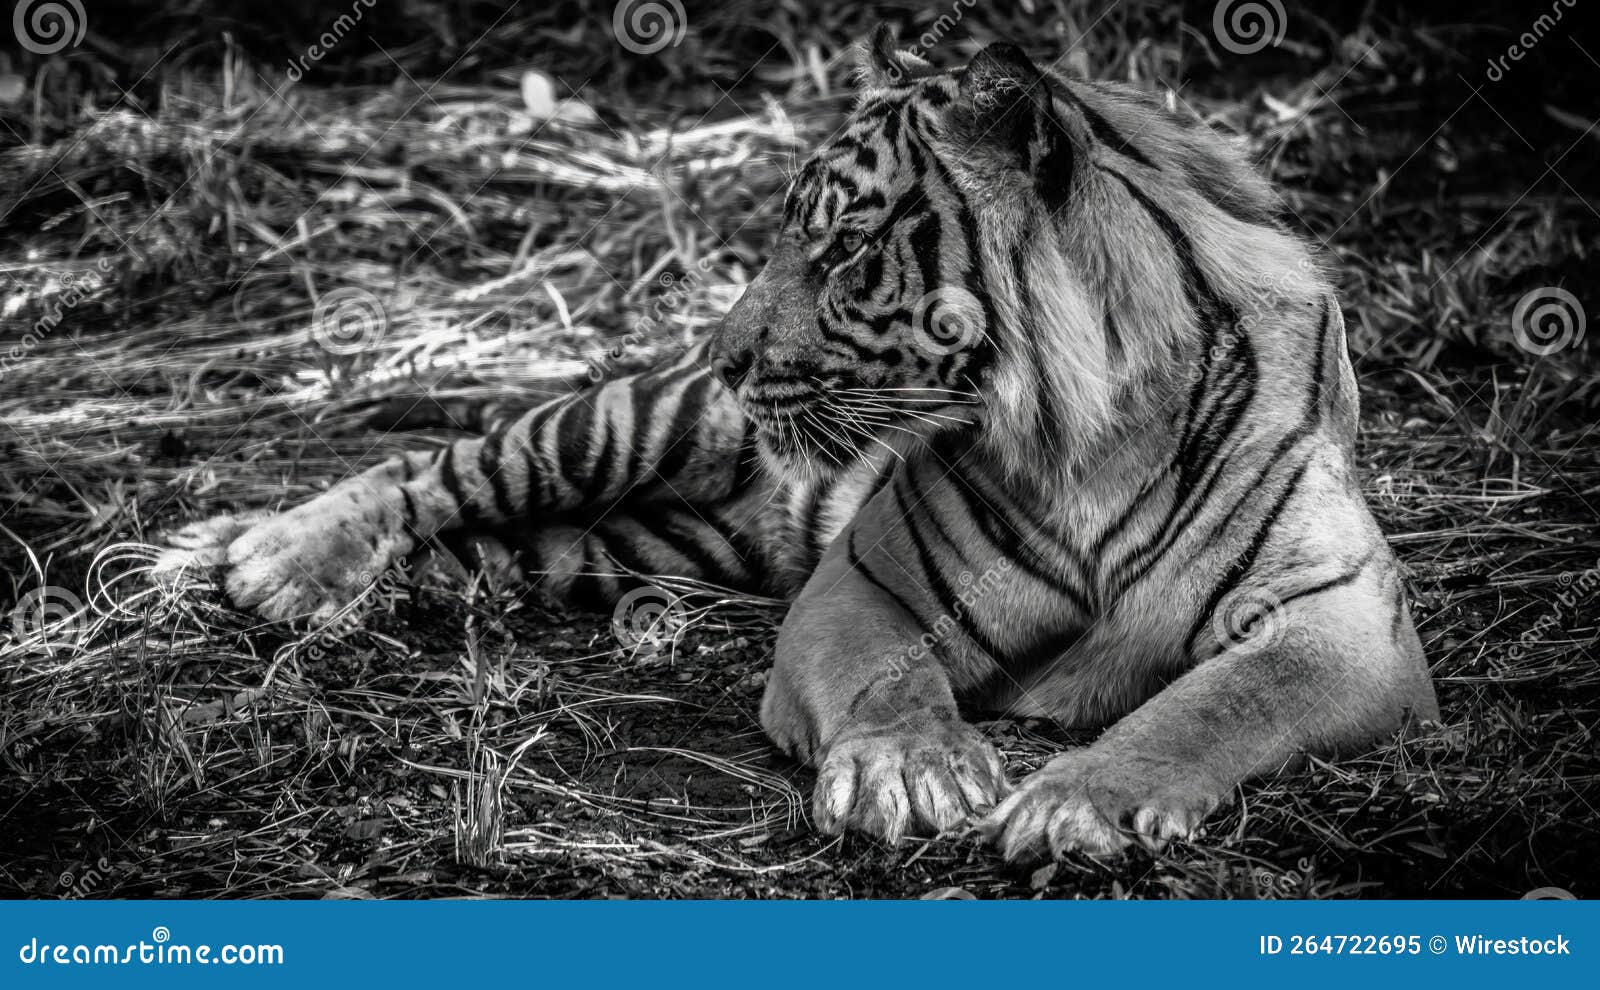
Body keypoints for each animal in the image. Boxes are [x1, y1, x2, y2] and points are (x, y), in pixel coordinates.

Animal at [157, 28, 1439, 860]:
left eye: (841, 247)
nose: (724, 350)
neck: (1098, 427)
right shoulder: (864, 582)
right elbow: (889, 677)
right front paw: (912, 771)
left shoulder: (1339, 623)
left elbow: (1208, 706)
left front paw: (1075, 803)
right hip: (616, 427)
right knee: (431, 467)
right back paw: (277, 563)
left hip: (643, 545)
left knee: (500, 549)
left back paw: (435, 598)